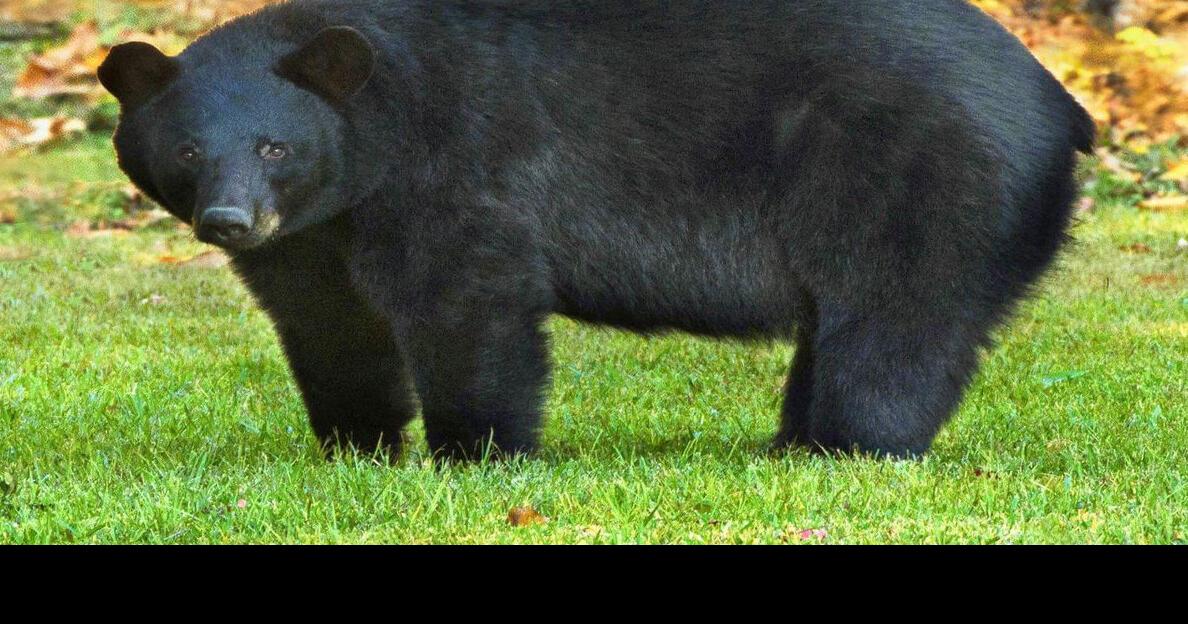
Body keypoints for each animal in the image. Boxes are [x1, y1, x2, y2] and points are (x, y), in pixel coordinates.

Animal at [98, 0, 1094, 461]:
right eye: (187, 151)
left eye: (275, 144)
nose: (231, 221)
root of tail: (1061, 103)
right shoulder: (318, 234)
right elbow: (330, 326)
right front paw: (358, 447)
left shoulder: (452, 166)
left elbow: (469, 303)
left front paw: (474, 453)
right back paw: (791, 444)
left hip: (924, 175)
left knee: (895, 323)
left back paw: (847, 447)